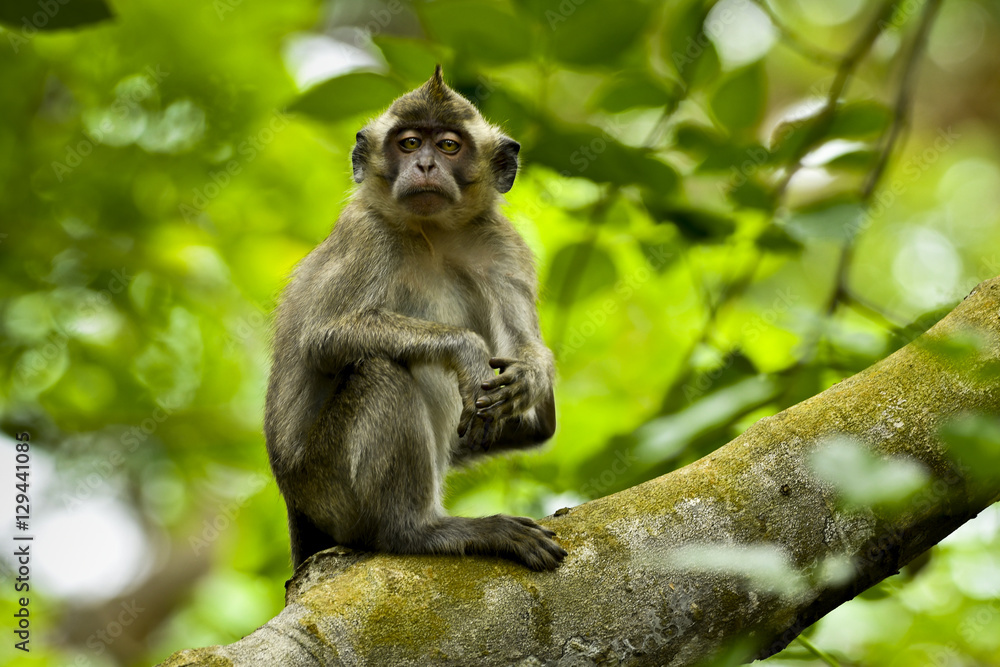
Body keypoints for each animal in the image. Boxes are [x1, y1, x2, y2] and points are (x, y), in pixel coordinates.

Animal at [264, 66, 566, 572]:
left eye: (448, 145)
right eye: (408, 144)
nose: (424, 165)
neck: (432, 234)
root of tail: (293, 502)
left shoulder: (502, 245)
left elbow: (523, 347)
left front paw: (529, 377)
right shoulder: (365, 233)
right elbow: (322, 337)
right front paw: (468, 351)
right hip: (325, 487)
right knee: (381, 370)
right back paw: (417, 531)